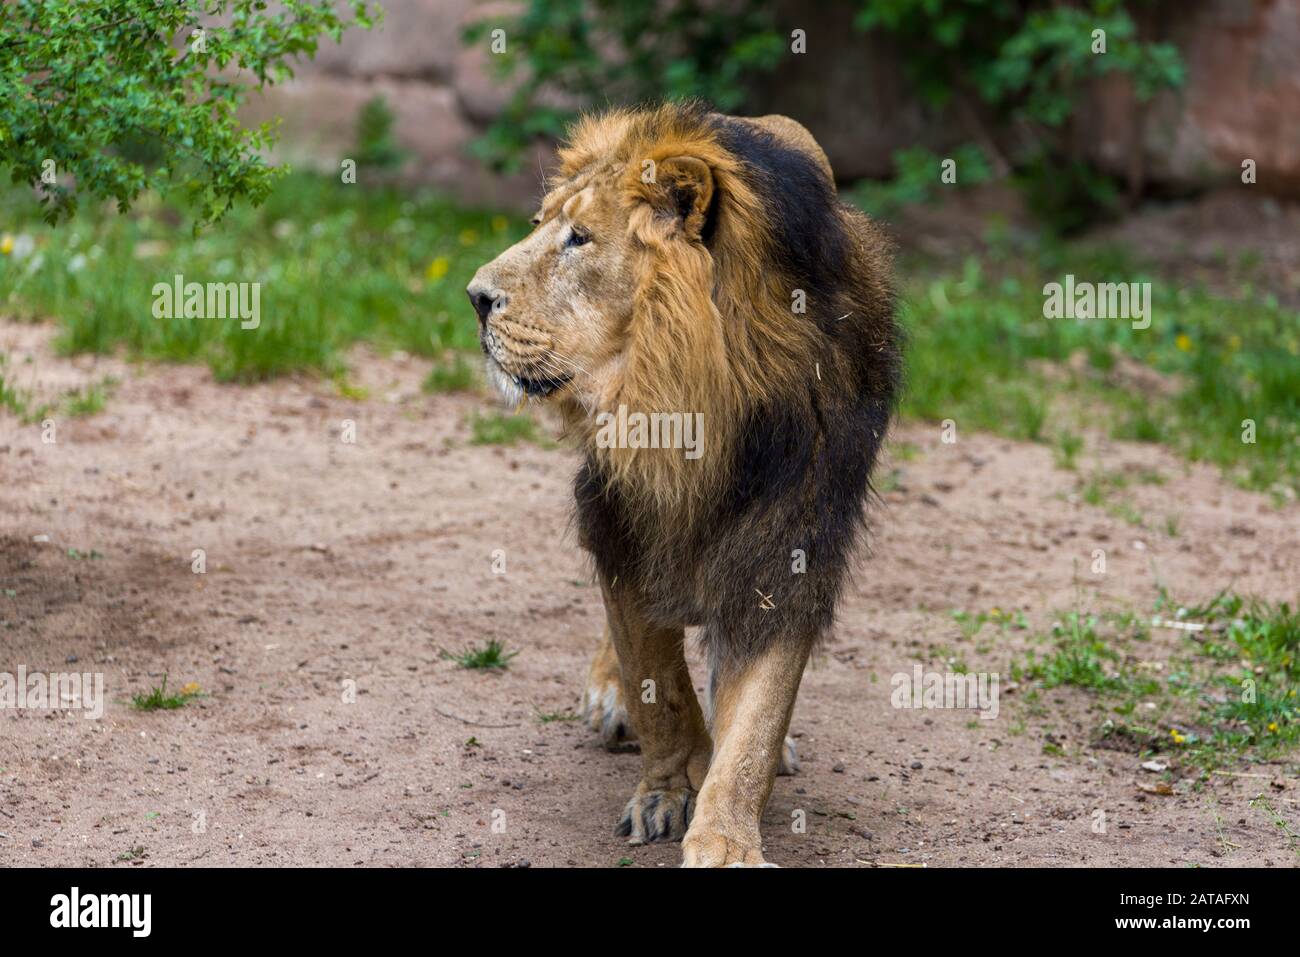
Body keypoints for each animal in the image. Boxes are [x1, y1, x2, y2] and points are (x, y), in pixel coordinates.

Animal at [466, 101, 901, 866]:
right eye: (542, 223)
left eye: (579, 237)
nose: (474, 297)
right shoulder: (623, 525)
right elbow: (659, 686)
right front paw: (670, 787)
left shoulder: (786, 552)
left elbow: (755, 719)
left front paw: (726, 835)